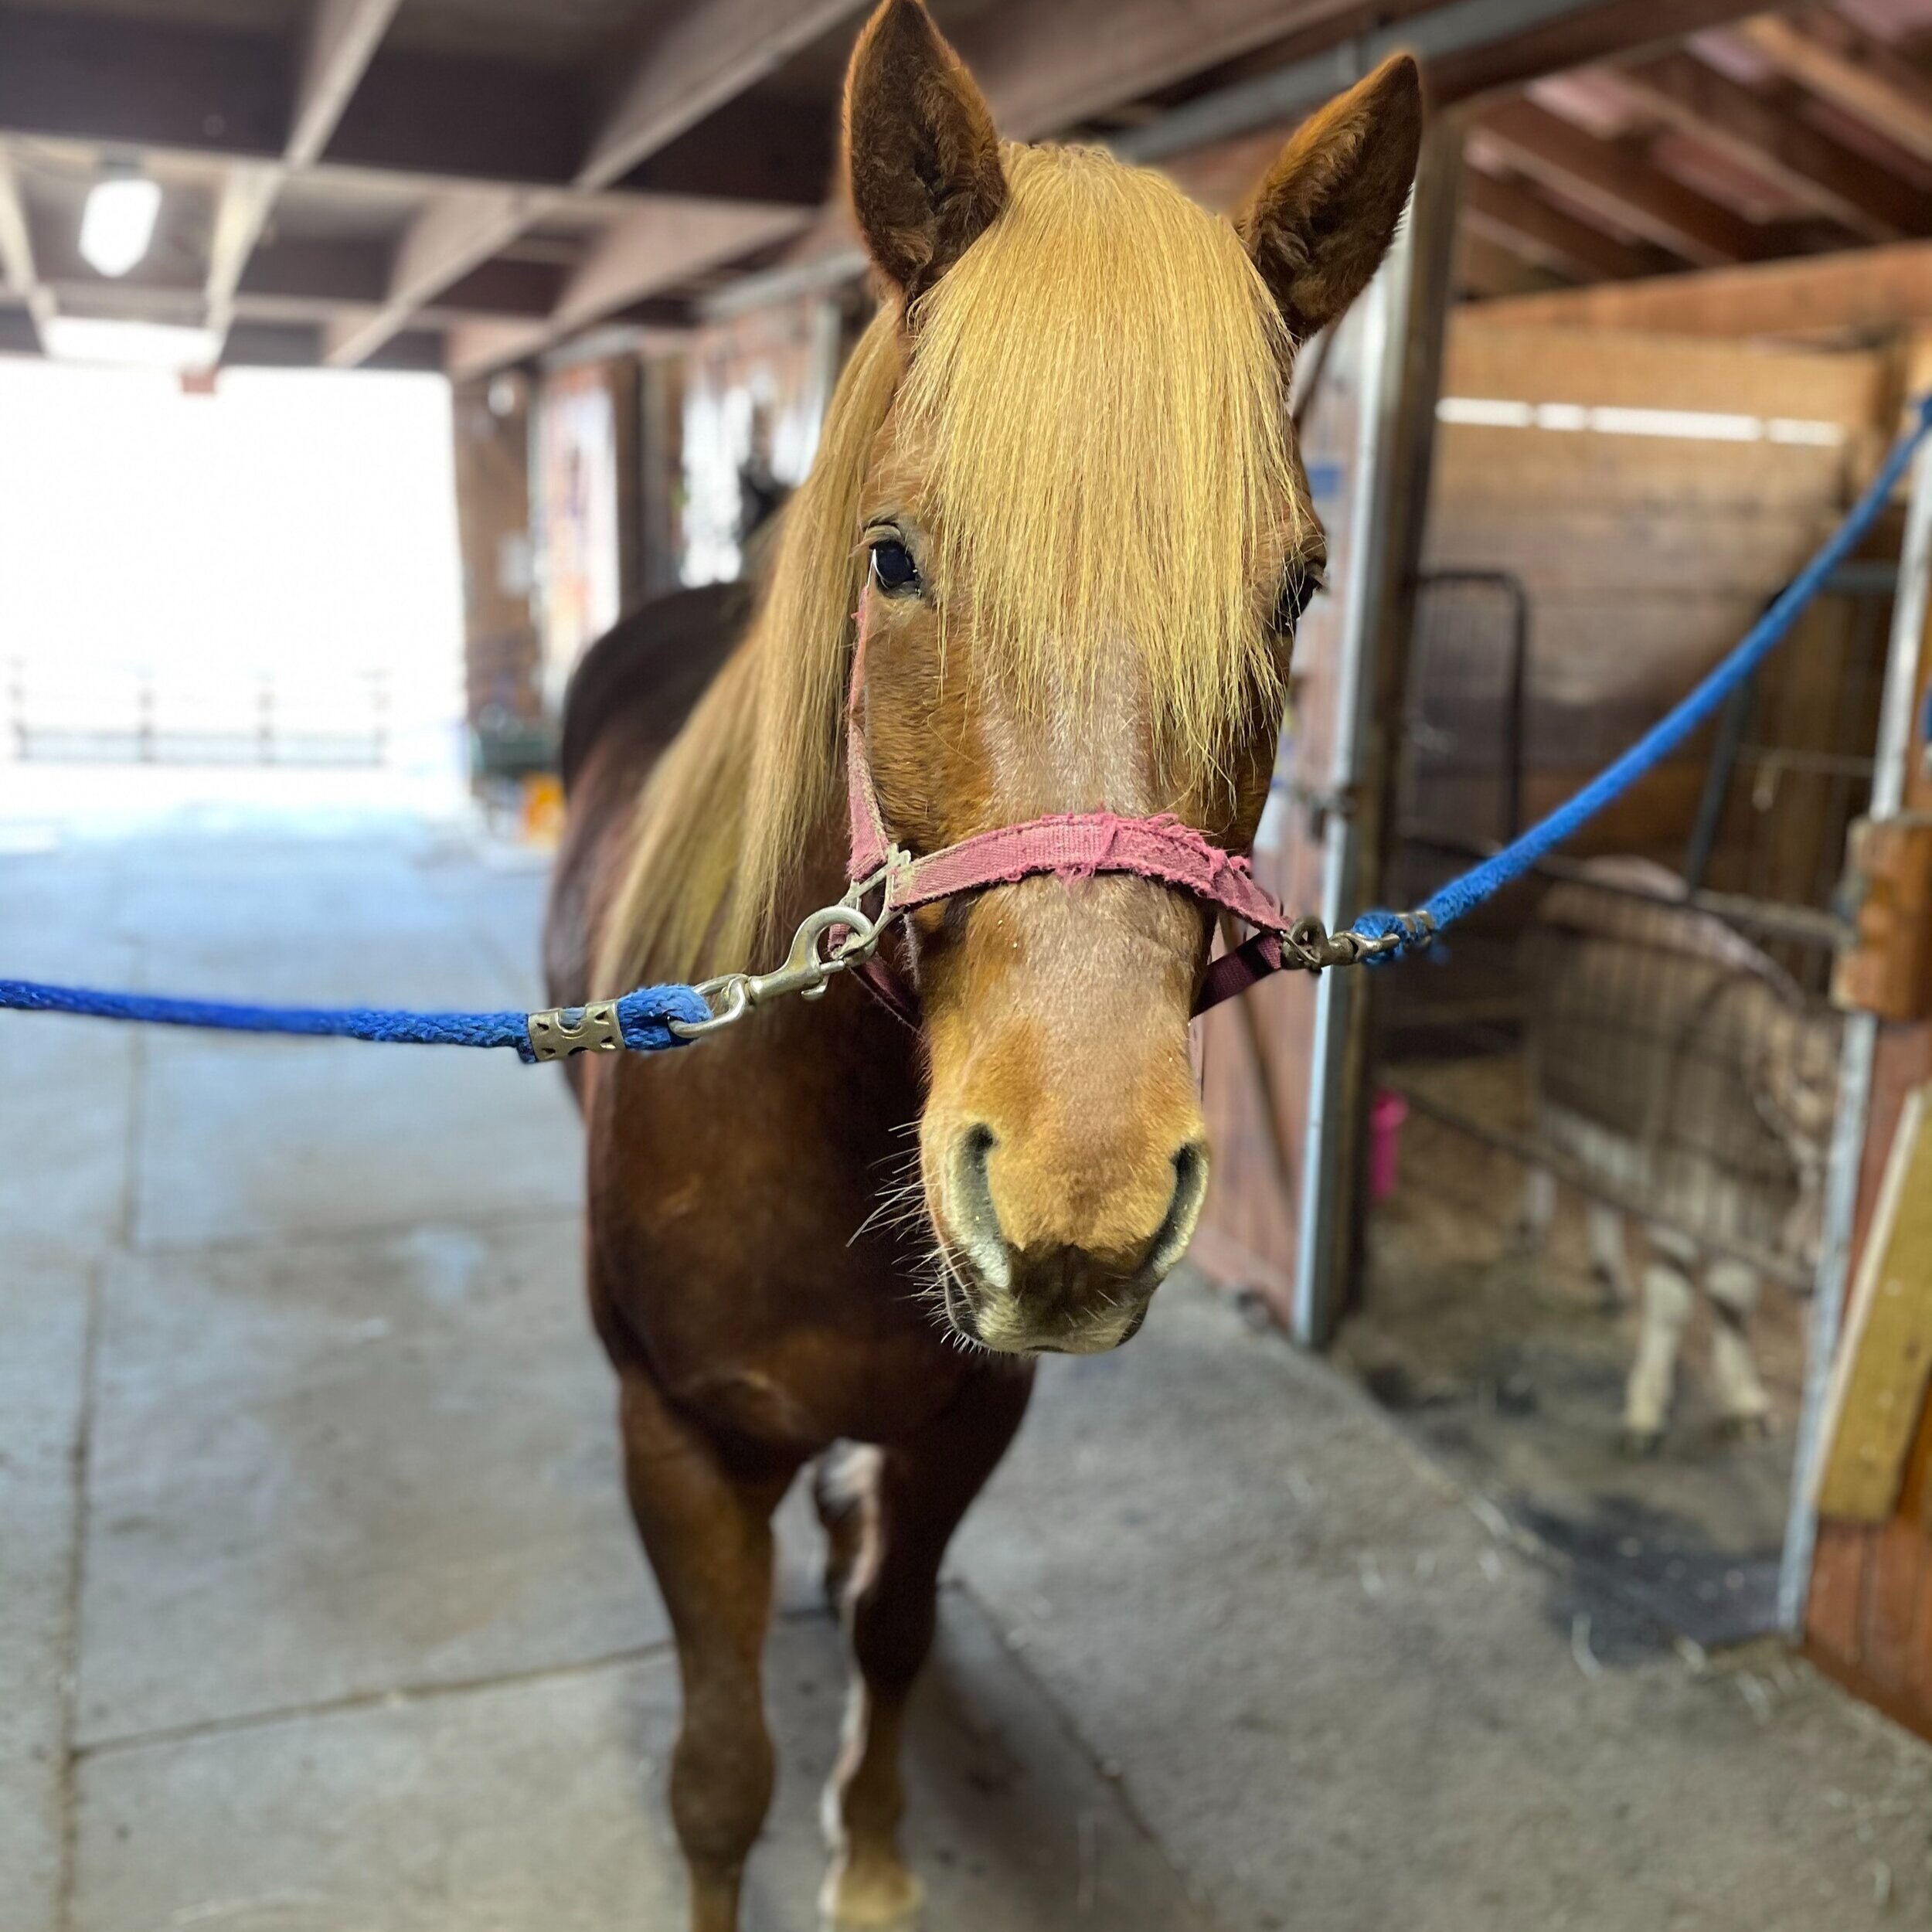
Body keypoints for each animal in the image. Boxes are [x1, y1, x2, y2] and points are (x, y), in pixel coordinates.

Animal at [543, 5, 1422, 1925]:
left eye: (1297, 594)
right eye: (891, 557)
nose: (1077, 1200)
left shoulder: (966, 1424)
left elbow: (896, 1624)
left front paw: (871, 1859)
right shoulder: (672, 1440)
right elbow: (715, 1773)